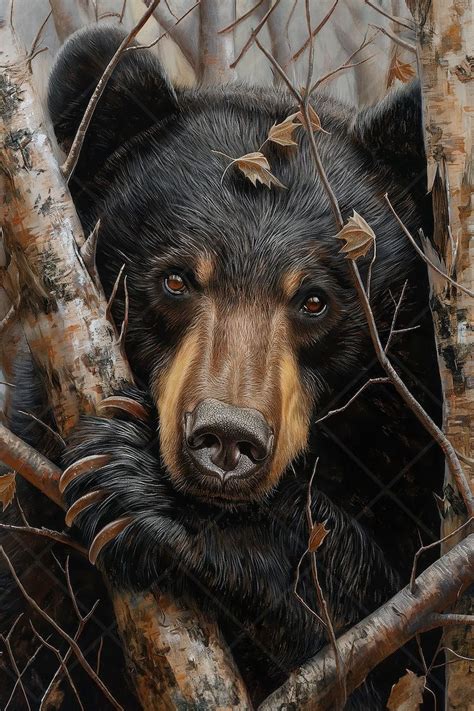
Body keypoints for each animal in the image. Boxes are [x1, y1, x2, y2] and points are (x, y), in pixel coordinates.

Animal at [2, 24, 444, 710]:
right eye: (176, 280)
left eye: (315, 300)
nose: (227, 440)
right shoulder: (34, 551)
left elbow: (404, 651)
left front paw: (141, 485)